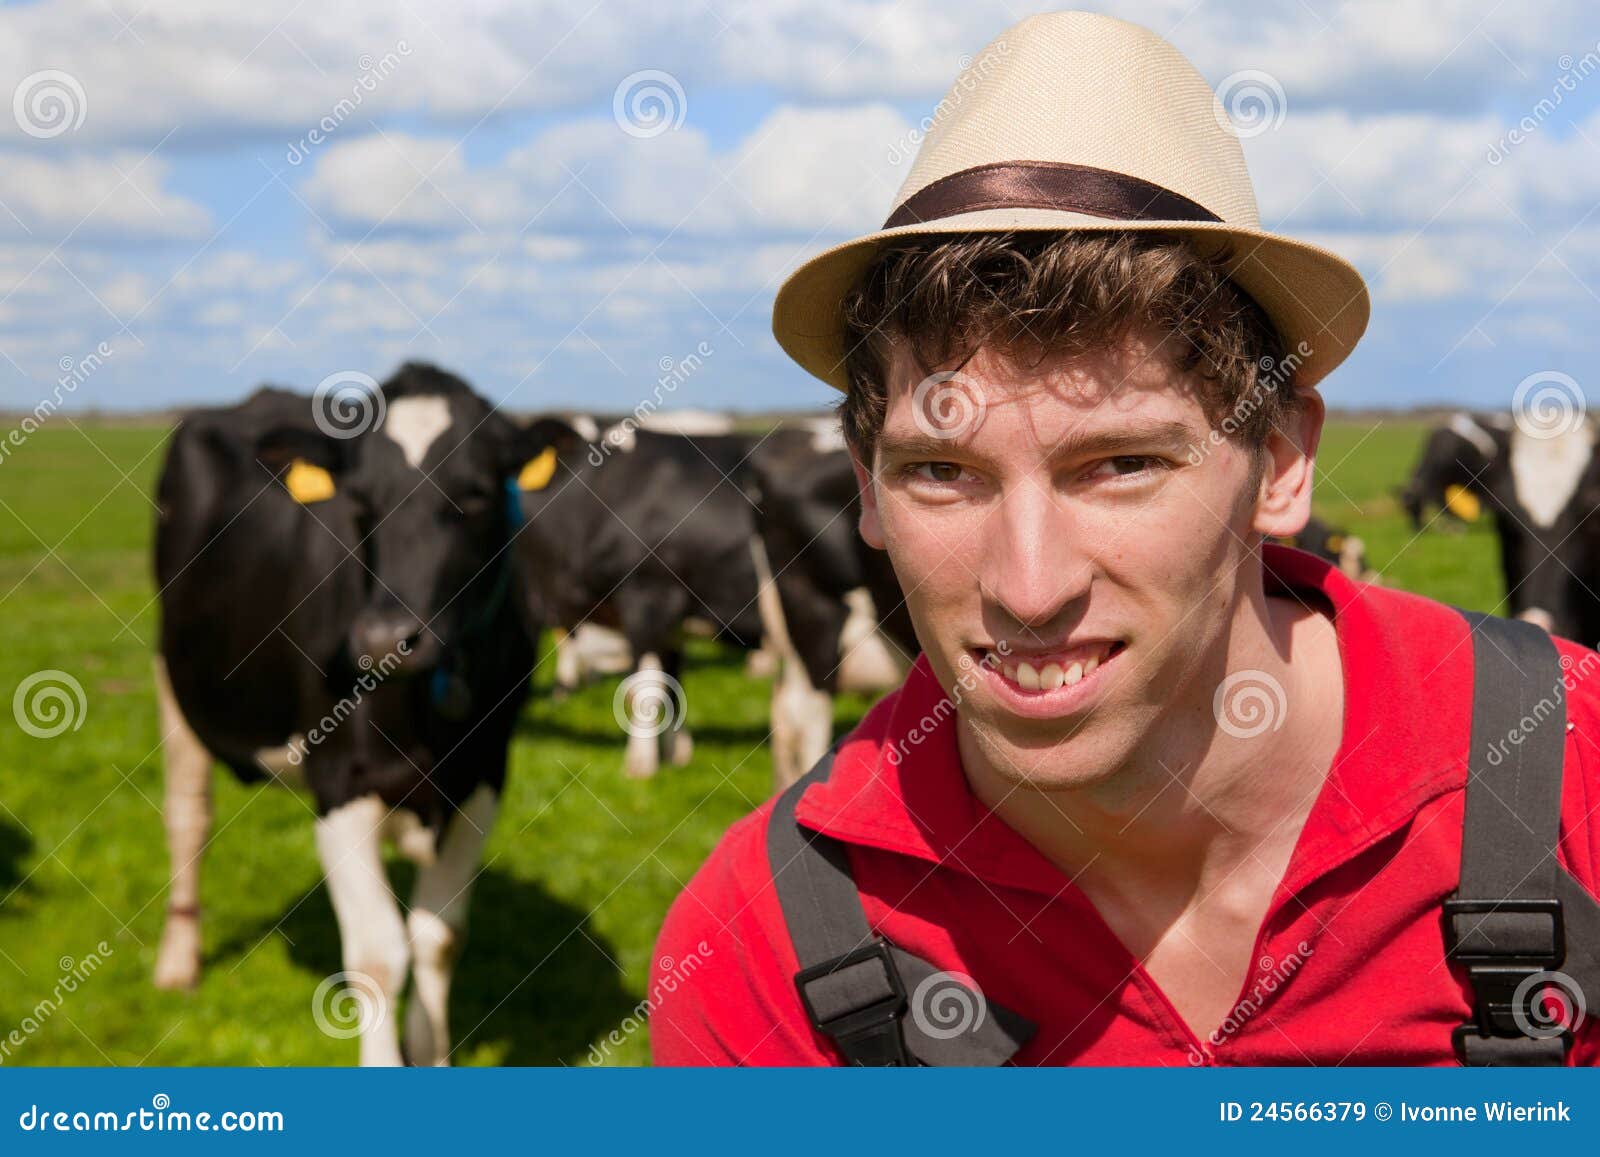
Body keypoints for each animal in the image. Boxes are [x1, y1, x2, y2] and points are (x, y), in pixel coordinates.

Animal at [150, 362, 542, 1066]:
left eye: (475, 496)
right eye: (360, 502)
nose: (384, 638)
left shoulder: (486, 773)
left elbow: (438, 938)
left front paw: (432, 1053)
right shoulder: (338, 781)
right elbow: (378, 954)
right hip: (173, 676)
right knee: (188, 818)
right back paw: (178, 962)